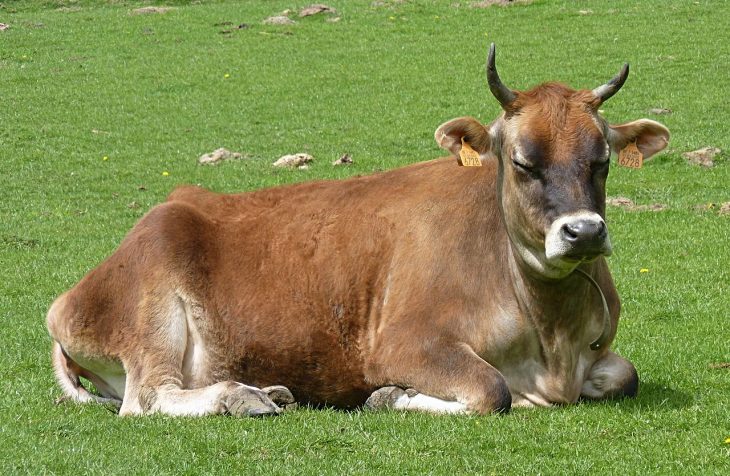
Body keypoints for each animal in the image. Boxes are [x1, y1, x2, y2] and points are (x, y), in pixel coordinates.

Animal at [47, 44, 670, 416]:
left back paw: (267, 390)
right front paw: (392, 395)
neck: (550, 339)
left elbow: (627, 374)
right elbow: (491, 391)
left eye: (602, 161)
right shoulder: (403, 342)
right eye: (521, 162)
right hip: (152, 313)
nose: (583, 233)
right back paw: (242, 398)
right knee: (149, 398)